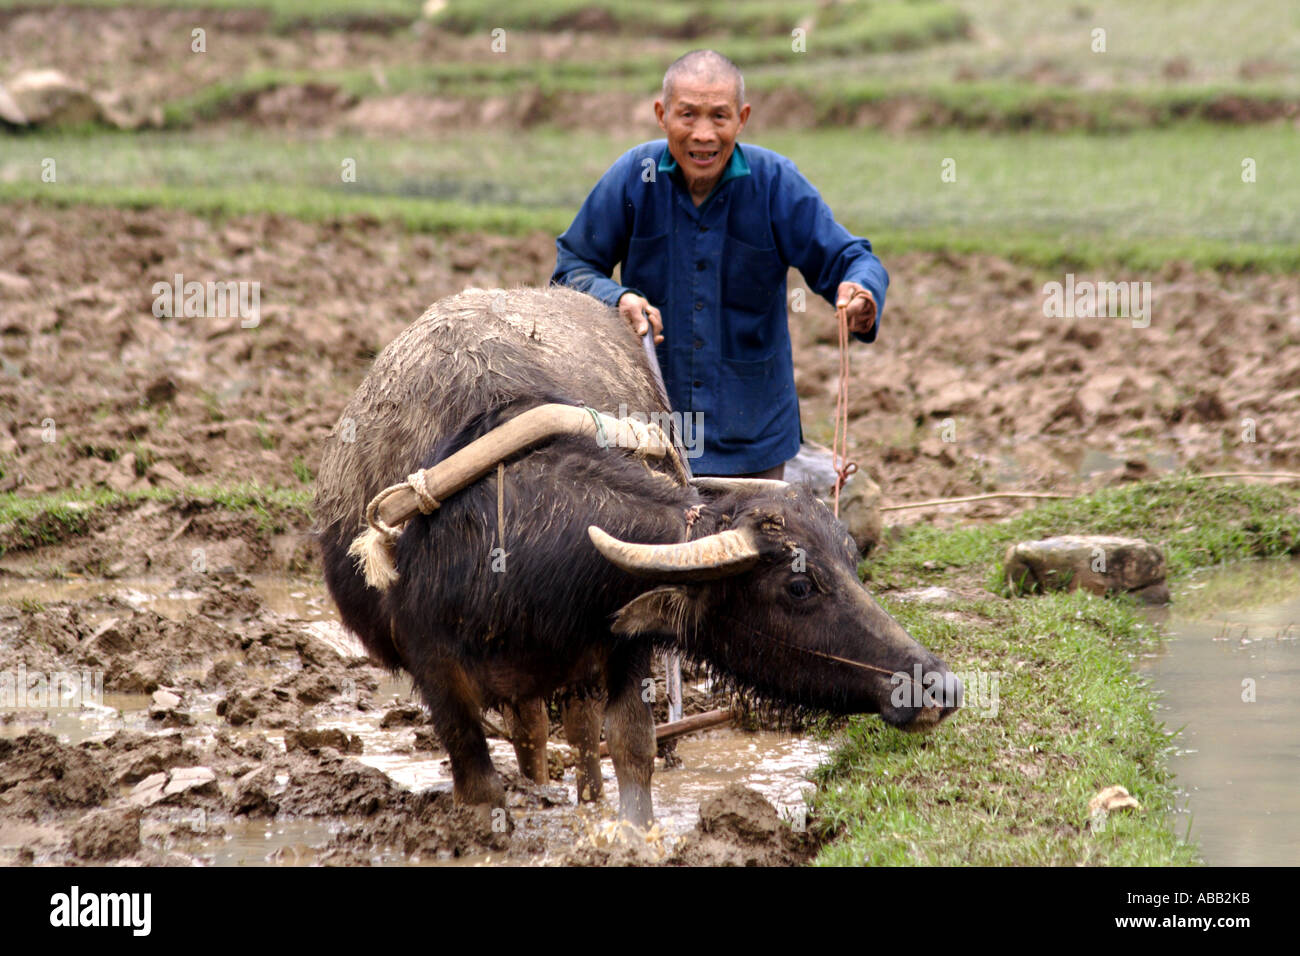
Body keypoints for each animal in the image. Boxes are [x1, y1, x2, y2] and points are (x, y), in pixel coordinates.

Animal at [314, 286, 958, 826]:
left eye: (852, 567)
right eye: (799, 587)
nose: (937, 687)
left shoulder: (620, 644)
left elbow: (632, 749)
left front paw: (629, 829)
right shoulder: (436, 672)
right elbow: (479, 784)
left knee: (572, 734)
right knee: (532, 735)